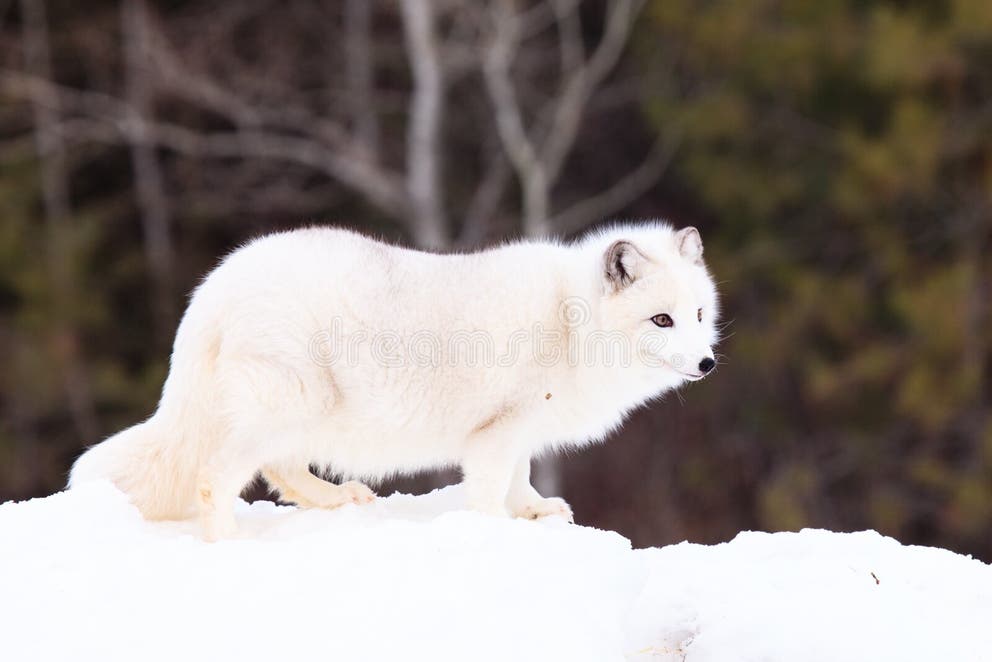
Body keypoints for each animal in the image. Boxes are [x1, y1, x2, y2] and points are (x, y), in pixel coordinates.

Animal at [69, 222, 720, 540]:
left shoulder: (520, 432)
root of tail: (214, 287)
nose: (708, 364)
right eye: (661, 320)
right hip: (290, 403)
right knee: (216, 480)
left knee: (280, 470)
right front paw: (495, 530)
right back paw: (229, 543)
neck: (571, 317)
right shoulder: (498, 431)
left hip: (302, 414)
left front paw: (534, 513)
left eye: (697, 315)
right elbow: (491, 489)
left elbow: (522, 479)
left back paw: (336, 499)